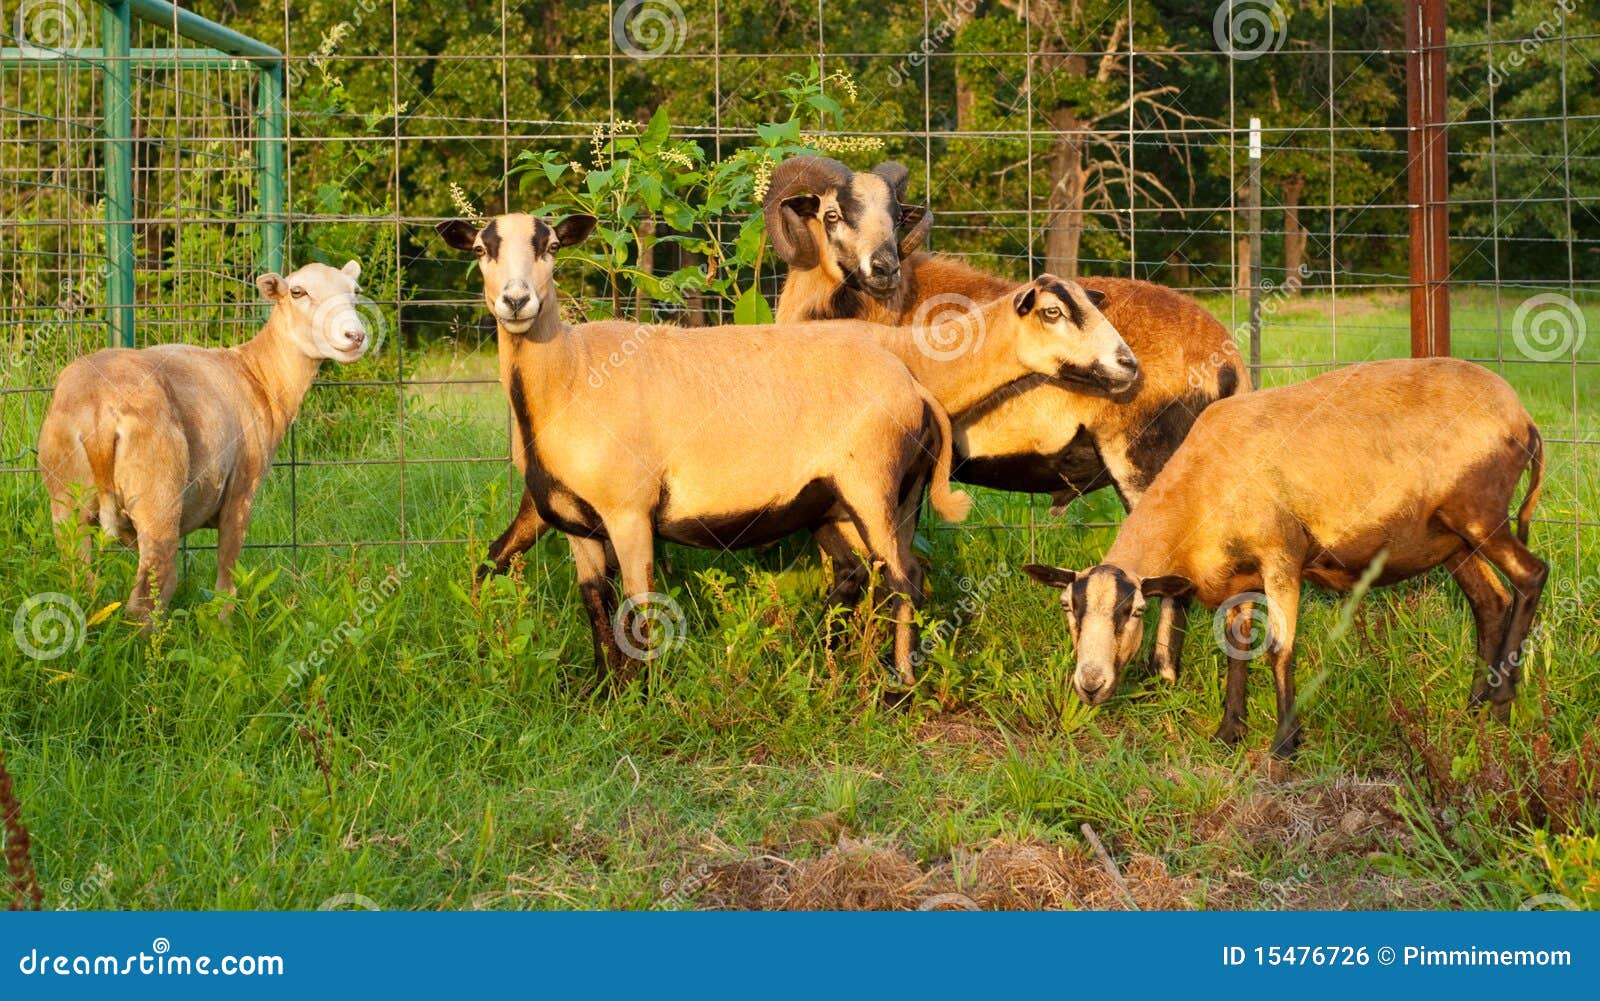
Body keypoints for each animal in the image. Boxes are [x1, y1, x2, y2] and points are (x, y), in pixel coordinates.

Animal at [38, 261, 371, 621]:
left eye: (354, 291)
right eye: (298, 292)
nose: (355, 336)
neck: (259, 374)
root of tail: (100, 410)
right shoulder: (241, 491)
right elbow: (227, 577)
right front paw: (223, 625)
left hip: (66, 499)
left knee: (79, 578)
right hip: (157, 498)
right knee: (147, 595)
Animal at [764, 154, 1251, 682]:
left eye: (895, 217)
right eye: (832, 215)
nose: (884, 268)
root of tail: (1227, 356)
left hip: (1145, 459)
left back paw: (1161, 671)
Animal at [1021, 357, 1547, 757]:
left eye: (1135, 611)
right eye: (1068, 607)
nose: (1090, 685)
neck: (1198, 487)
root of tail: (1522, 417)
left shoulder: (1282, 557)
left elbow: (1279, 649)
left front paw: (1283, 744)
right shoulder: (1237, 577)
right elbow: (1236, 649)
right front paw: (1228, 732)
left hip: (1480, 514)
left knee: (1531, 576)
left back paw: (1502, 702)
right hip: (1452, 540)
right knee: (1490, 603)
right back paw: (1475, 706)